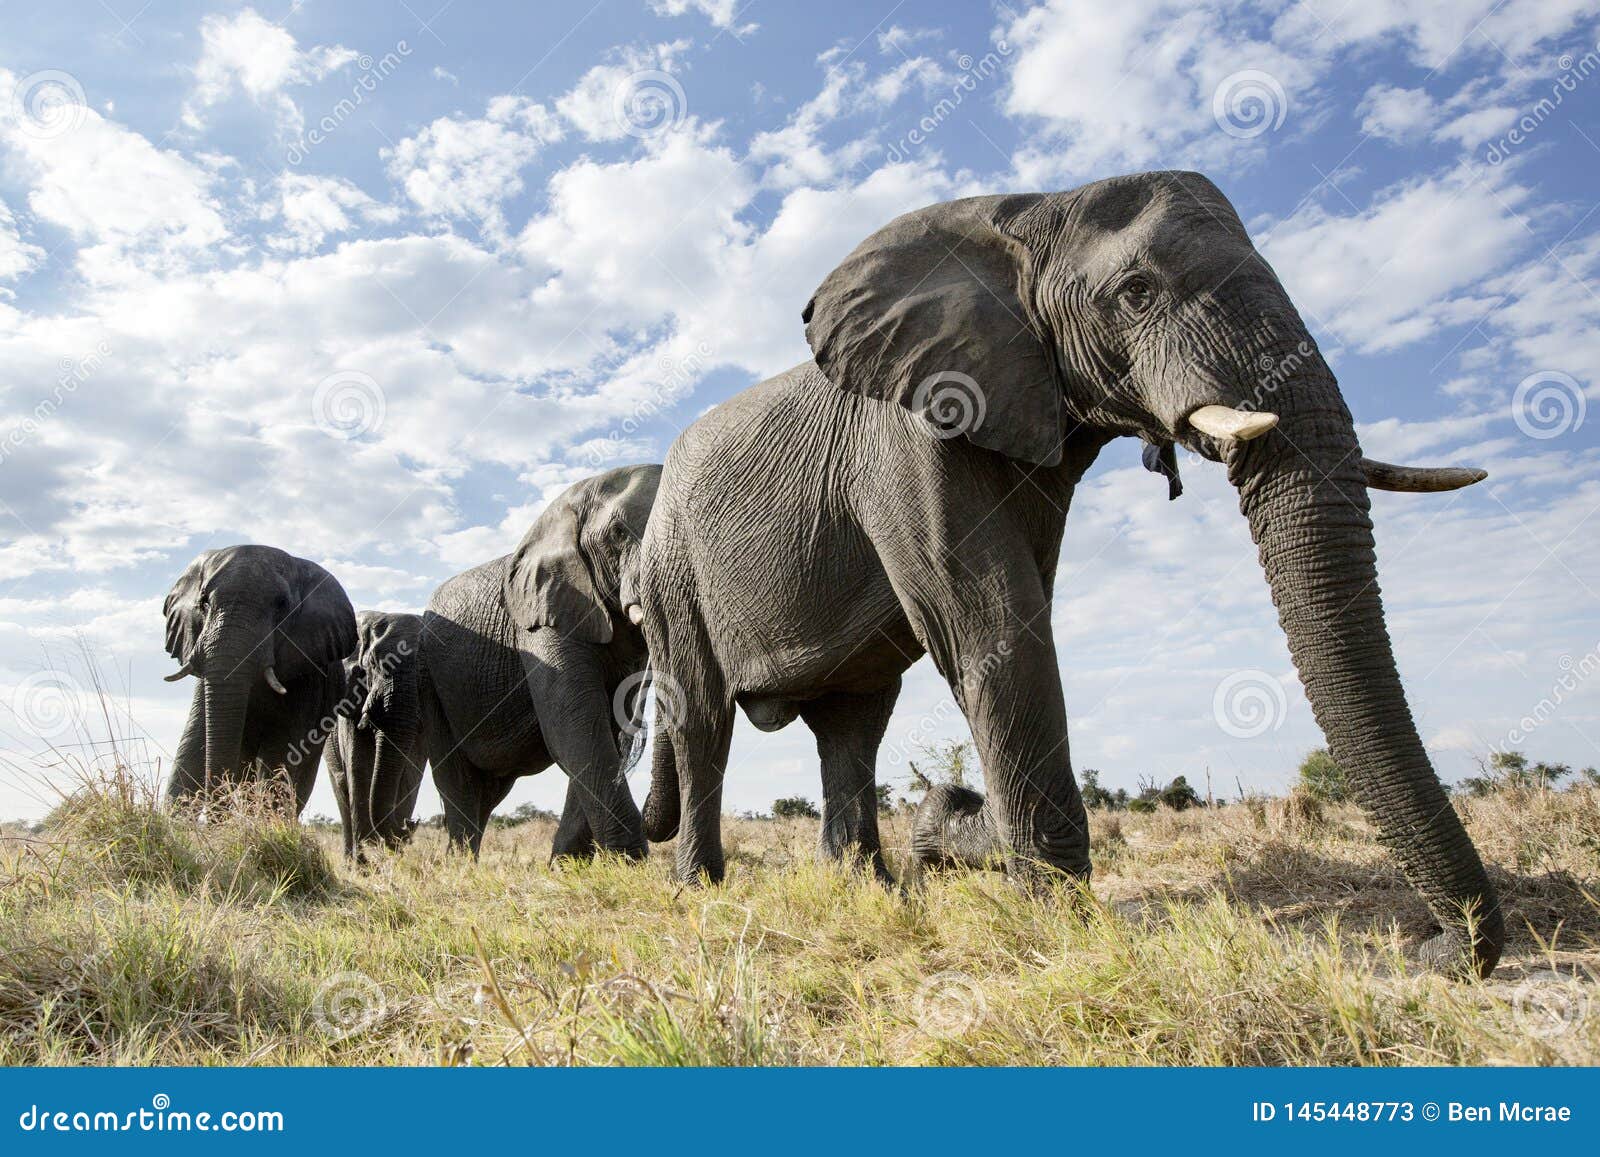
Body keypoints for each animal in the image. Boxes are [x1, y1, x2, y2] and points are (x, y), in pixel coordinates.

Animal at [326, 611, 428, 860]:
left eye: (424, 670)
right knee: (342, 791)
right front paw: (370, 856)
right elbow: (359, 767)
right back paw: (352, 860)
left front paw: (394, 856)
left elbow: (411, 771)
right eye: (372, 664)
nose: (410, 824)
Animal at [420, 464, 660, 858]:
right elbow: (575, 725)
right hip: (429, 680)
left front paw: (568, 865)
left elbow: (604, 729)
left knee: (488, 792)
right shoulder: (542, 614)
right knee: (457, 781)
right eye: (617, 534)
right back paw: (460, 863)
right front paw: (632, 863)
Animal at [635, 170, 1502, 977]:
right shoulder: (909, 434)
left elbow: (1020, 608)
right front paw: (1055, 914)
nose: (1429, 948)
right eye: (1137, 292)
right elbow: (993, 622)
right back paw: (700, 889)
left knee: (854, 724)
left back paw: (866, 889)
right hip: (673, 575)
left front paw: (973, 840)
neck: (1032, 210)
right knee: (704, 717)